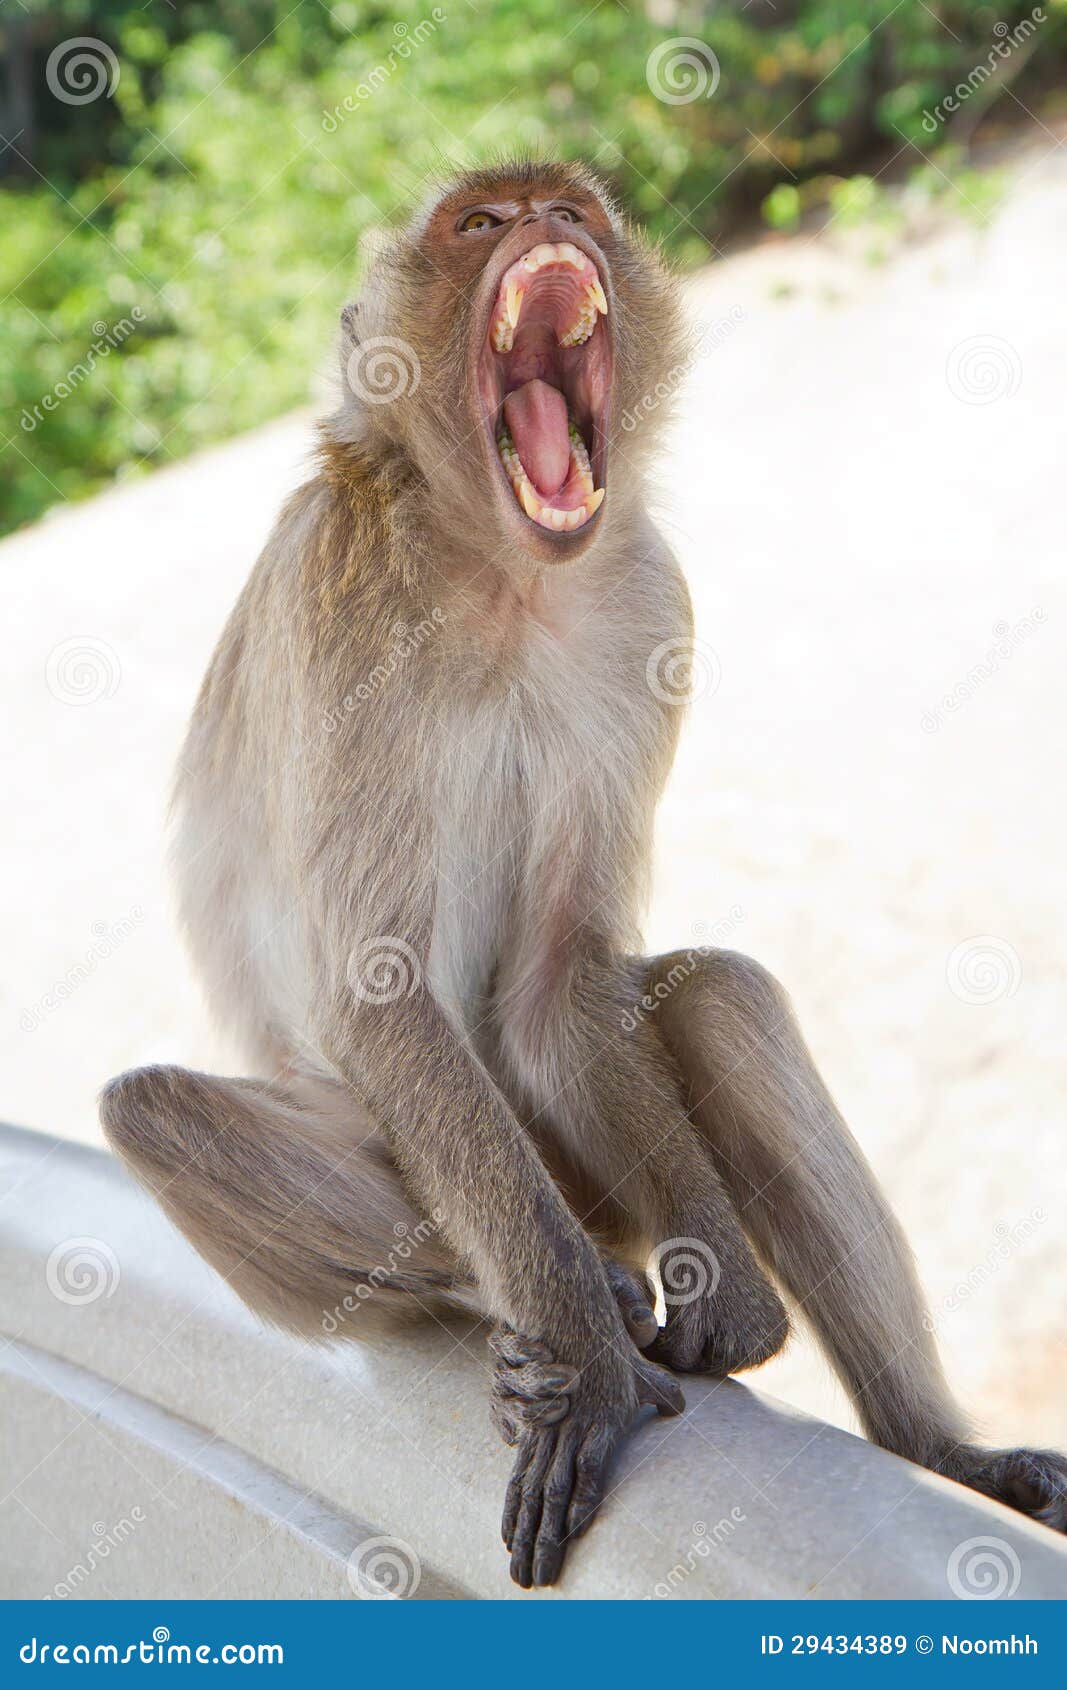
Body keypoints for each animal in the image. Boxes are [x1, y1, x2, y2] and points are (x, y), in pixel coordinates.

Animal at [100, 159, 1067, 1591]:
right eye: (478, 226)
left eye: (572, 207)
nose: (548, 227)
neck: (503, 572)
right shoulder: (345, 598)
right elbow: (377, 990)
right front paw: (592, 1366)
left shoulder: (647, 605)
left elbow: (565, 974)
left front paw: (725, 1292)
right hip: (440, 1158)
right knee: (157, 1109)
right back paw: (545, 1312)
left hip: (579, 1166)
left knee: (715, 994)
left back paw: (930, 1443)